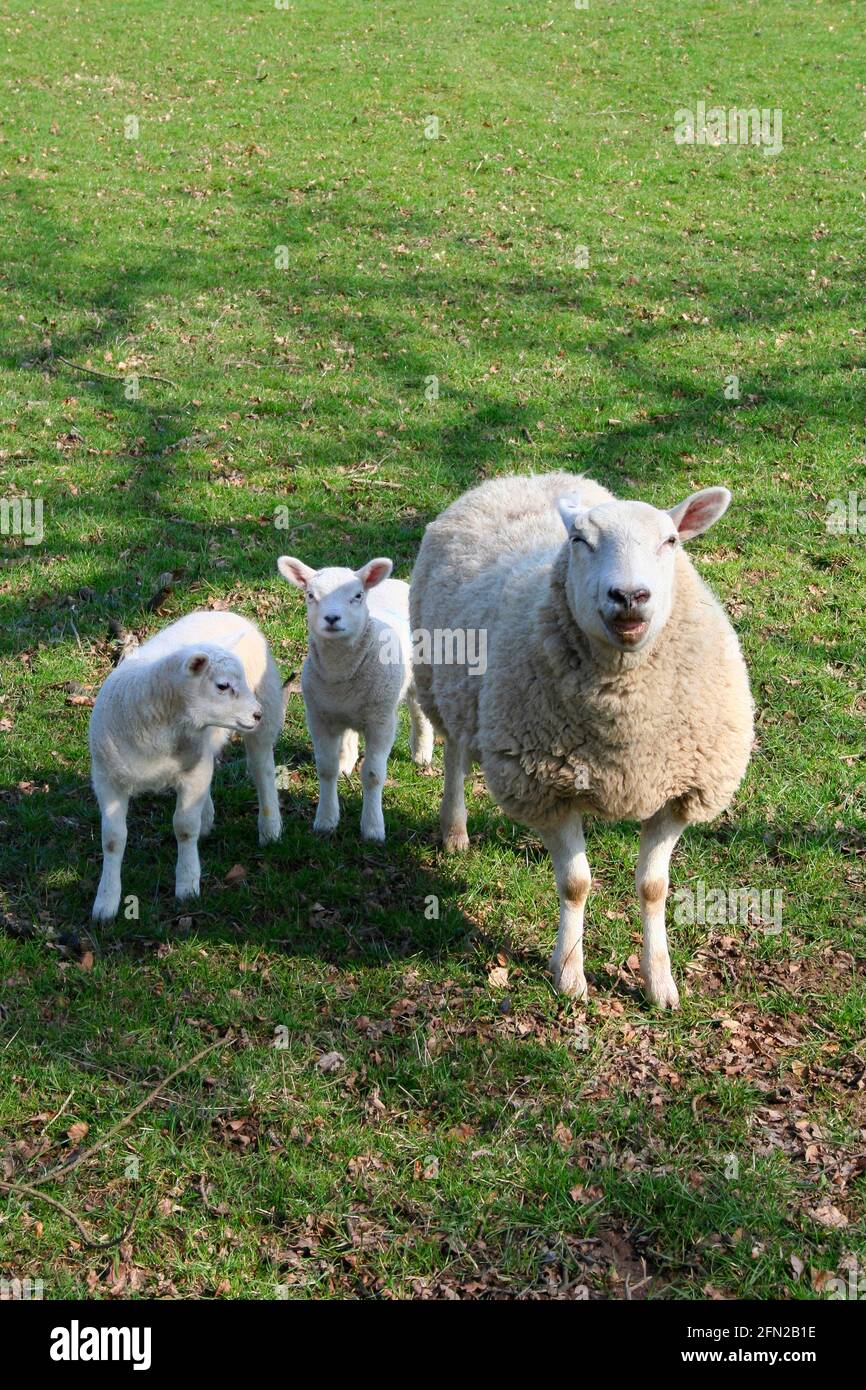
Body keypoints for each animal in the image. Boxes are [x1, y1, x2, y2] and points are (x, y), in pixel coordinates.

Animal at [89, 610, 284, 921]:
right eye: (222, 686)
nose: (257, 714)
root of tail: (226, 612)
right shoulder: (107, 778)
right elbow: (112, 839)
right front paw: (105, 902)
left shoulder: (193, 772)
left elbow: (184, 827)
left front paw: (187, 884)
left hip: (266, 705)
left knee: (262, 769)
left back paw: (269, 828)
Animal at [277, 555, 434, 841]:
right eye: (310, 595)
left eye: (357, 596)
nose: (331, 618)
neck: (341, 669)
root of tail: (395, 582)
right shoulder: (319, 717)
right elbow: (325, 769)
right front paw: (326, 821)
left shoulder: (381, 721)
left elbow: (373, 775)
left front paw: (372, 828)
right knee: (349, 730)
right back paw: (346, 759)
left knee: (418, 711)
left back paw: (421, 752)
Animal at [410, 472, 754, 1010]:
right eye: (580, 542)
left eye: (670, 541)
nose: (629, 596)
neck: (625, 720)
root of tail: (523, 476)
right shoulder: (544, 787)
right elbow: (575, 884)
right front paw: (569, 975)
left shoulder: (679, 793)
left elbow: (654, 887)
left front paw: (660, 984)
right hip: (443, 685)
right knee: (457, 756)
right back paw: (454, 830)